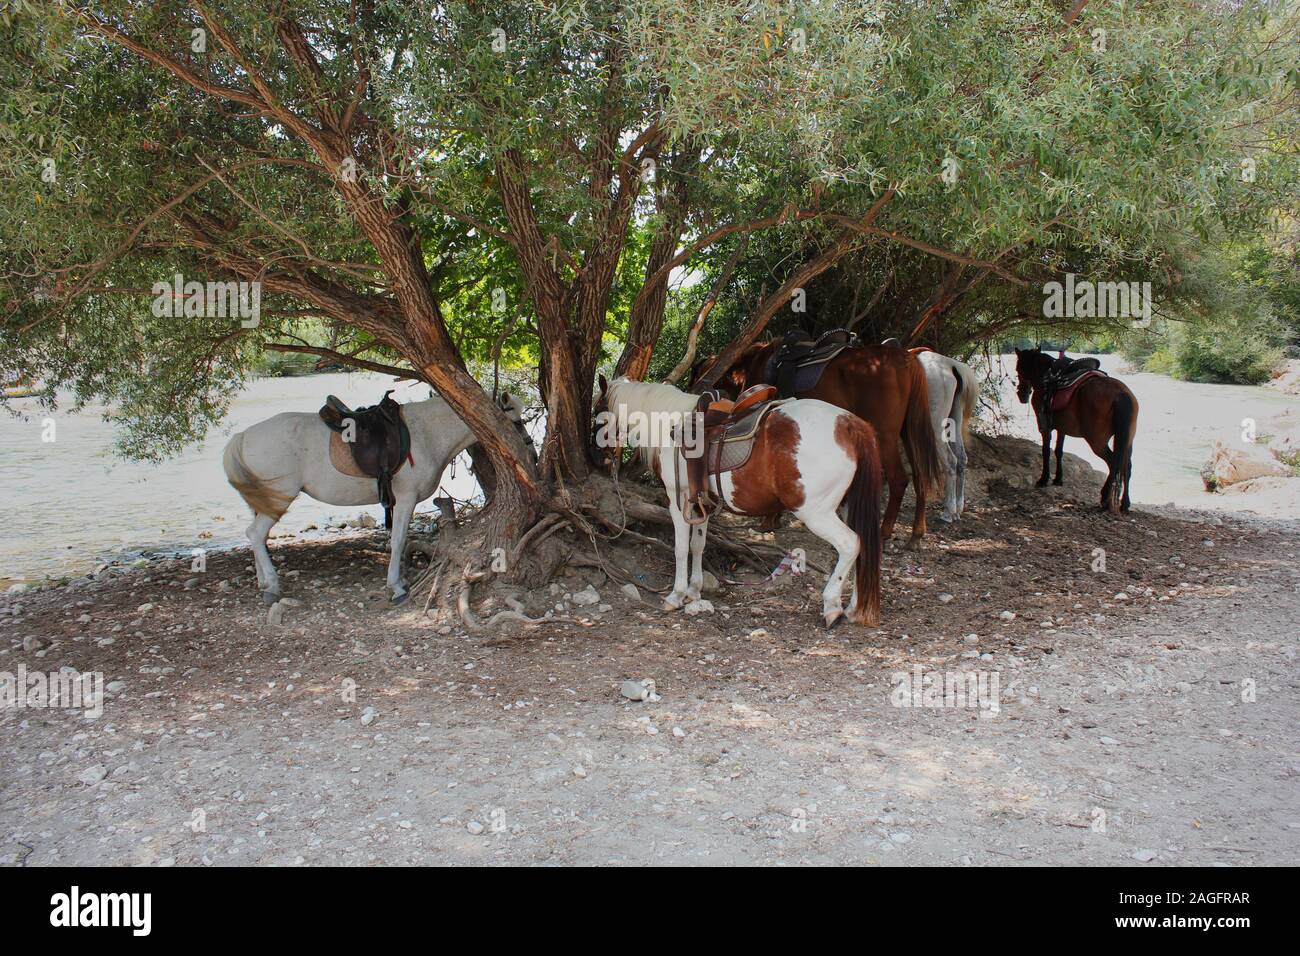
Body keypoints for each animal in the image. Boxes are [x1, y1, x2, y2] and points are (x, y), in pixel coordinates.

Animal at [223, 390, 532, 605]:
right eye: (515, 421)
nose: (529, 449)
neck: (426, 433)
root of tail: (242, 436)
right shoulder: (406, 499)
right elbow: (397, 540)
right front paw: (396, 587)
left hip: (264, 500)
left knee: (258, 537)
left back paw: (264, 583)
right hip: (279, 499)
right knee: (255, 534)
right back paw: (272, 586)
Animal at [597, 376, 883, 628]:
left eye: (598, 414)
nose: (603, 456)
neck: (672, 426)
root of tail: (851, 424)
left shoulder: (678, 499)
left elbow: (680, 547)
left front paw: (676, 596)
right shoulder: (702, 503)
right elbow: (698, 545)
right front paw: (694, 591)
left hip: (815, 513)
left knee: (850, 544)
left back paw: (832, 607)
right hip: (846, 508)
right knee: (862, 547)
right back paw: (853, 608)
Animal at [696, 342, 940, 548]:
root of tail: (907, 357)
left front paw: (770, 518)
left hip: (885, 435)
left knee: (899, 479)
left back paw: (884, 532)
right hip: (908, 432)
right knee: (921, 477)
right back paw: (916, 534)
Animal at [911, 348, 979, 522]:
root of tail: (952, 365)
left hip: (935, 426)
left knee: (950, 461)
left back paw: (949, 512)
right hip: (954, 420)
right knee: (961, 458)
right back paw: (958, 507)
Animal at [1013, 348, 1138, 513]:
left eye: (1018, 369)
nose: (1022, 394)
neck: (1046, 378)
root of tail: (1120, 393)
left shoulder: (1045, 426)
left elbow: (1046, 451)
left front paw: (1043, 479)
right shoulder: (1062, 428)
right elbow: (1058, 451)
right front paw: (1058, 479)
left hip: (1097, 442)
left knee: (1113, 463)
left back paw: (1105, 497)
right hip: (1127, 440)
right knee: (1126, 466)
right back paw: (1125, 503)